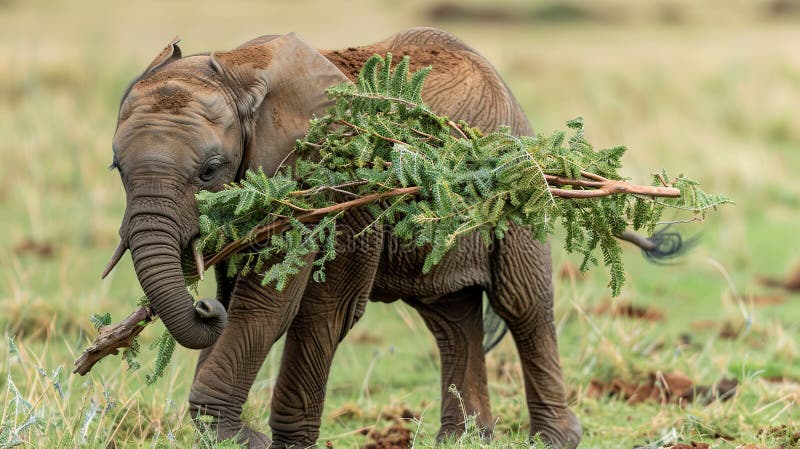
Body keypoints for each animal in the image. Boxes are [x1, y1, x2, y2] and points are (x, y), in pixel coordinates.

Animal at [107, 27, 682, 449]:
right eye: (117, 168)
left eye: (210, 170)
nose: (202, 305)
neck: (234, 66)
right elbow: (256, 299)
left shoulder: (334, 183)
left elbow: (285, 307)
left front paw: (253, 439)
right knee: (451, 317)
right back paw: (464, 442)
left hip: (518, 183)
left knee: (523, 303)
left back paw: (553, 441)